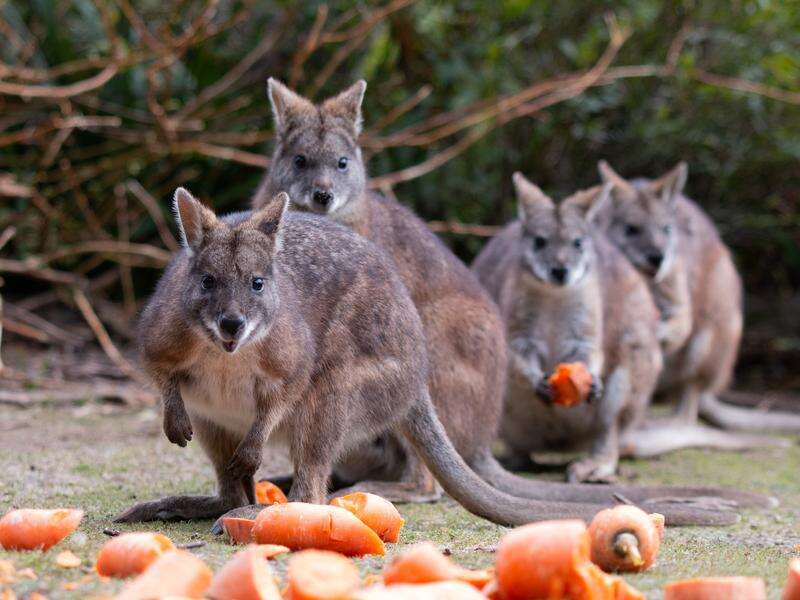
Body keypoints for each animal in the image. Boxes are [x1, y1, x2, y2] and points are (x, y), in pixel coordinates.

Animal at [472, 173, 663, 483]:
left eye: (577, 243)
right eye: (539, 241)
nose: (560, 271)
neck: (555, 295)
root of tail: (563, 443)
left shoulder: (586, 320)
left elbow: (589, 351)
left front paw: (590, 380)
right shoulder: (518, 322)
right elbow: (518, 352)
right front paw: (540, 383)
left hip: (634, 359)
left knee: (609, 427)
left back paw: (594, 467)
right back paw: (516, 460)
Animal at [596, 161, 800, 438]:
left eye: (666, 229)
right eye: (630, 229)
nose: (657, 258)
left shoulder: (676, 278)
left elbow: (680, 325)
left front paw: (658, 330)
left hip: (716, 319)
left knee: (690, 394)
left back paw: (668, 423)